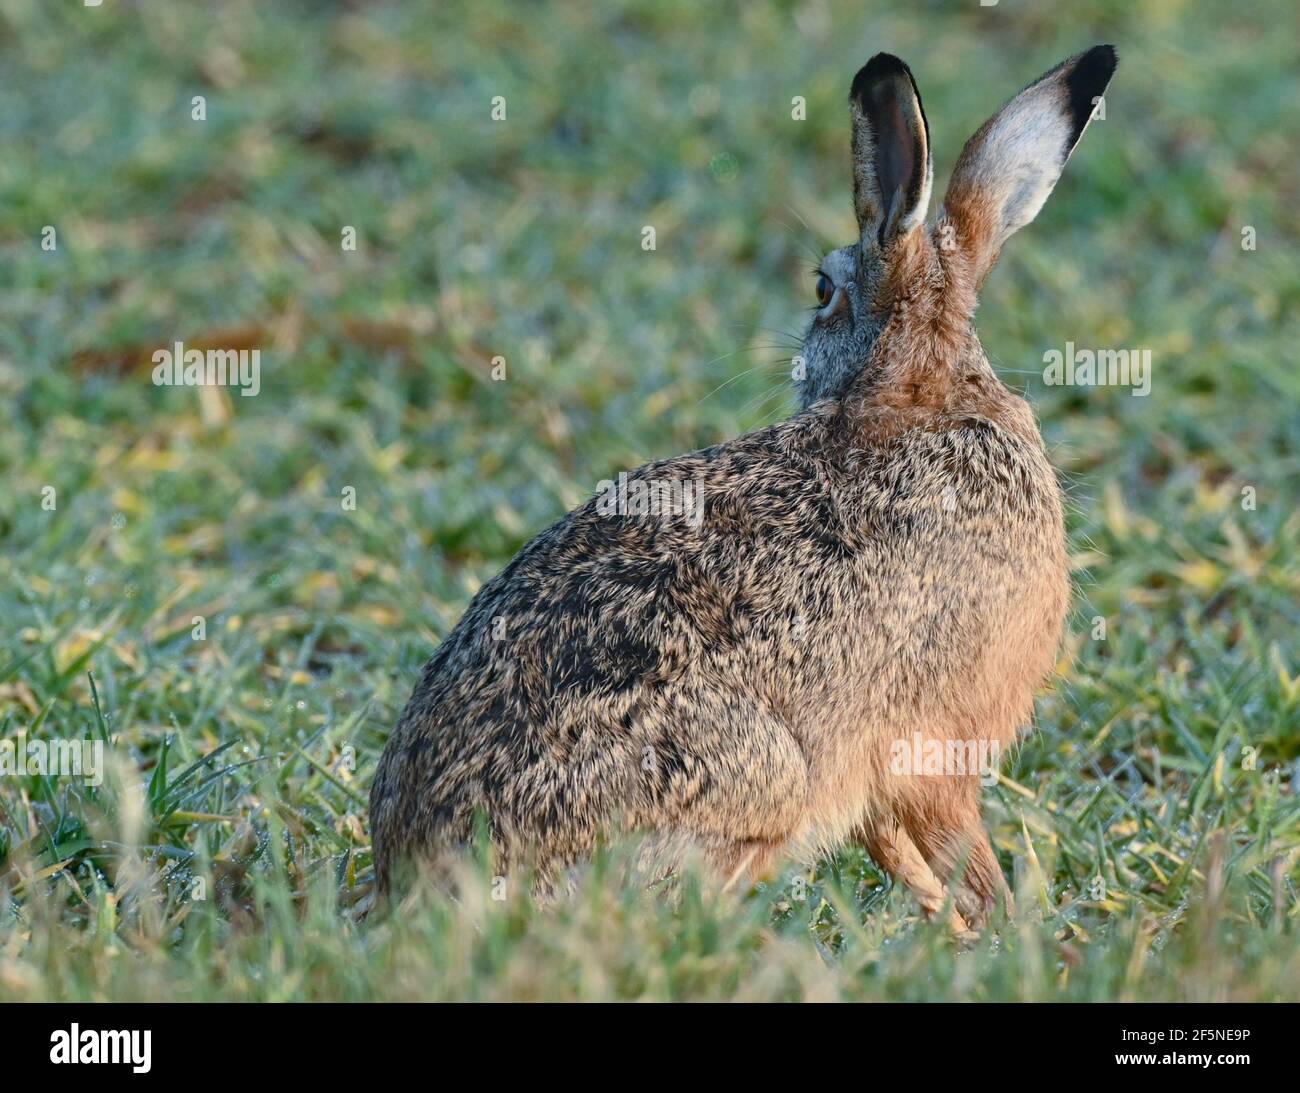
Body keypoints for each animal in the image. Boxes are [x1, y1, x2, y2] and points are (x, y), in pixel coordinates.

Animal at [370, 46, 1118, 931]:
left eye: (823, 289)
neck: (919, 391)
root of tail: (422, 875)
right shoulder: (932, 748)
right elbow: (952, 845)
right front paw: (995, 929)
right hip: (752, 785)